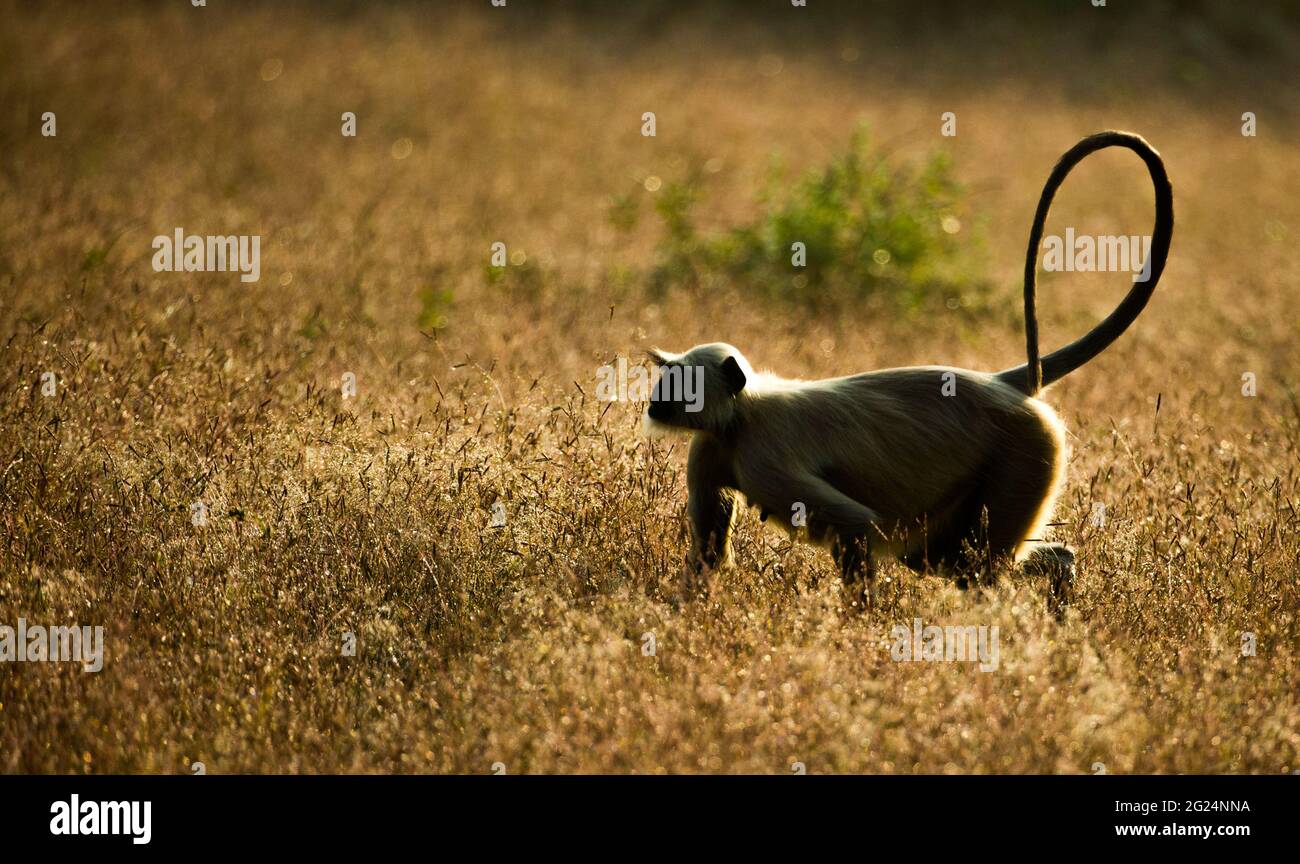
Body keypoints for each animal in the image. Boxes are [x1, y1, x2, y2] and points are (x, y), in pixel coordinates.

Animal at [643, 131, 1174, 611]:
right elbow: (709, 556)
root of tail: (1001, 384)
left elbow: (856, 524)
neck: (742, 413)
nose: (655, 400)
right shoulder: (710, 448)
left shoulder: (764, 455)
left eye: (682, 382)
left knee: (981, 568)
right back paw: (1060, 586)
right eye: (668, 378)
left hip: (1028, 451)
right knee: (952, 559)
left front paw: (861, 627)